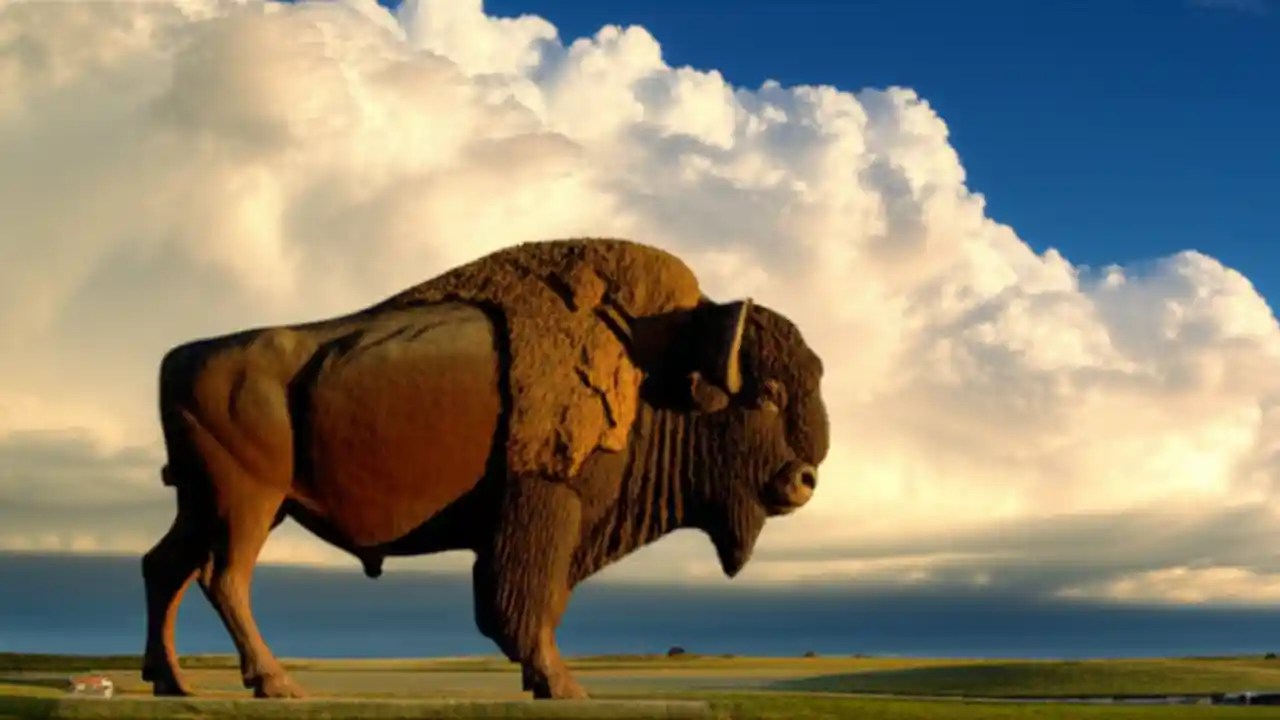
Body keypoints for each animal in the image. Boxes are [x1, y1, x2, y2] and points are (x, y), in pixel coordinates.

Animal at [140, 238, 829, 699]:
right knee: (224, 577)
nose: (805, 480)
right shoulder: (546, 502)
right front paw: (561, 684)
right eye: (766, 395)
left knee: (164, 567)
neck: (656, 361)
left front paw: (546, 680)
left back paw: (174, 682)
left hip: (211, 504)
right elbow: (528, 603)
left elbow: (531, 603)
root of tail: (179, 357)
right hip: (249, 502)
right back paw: (275, 683)